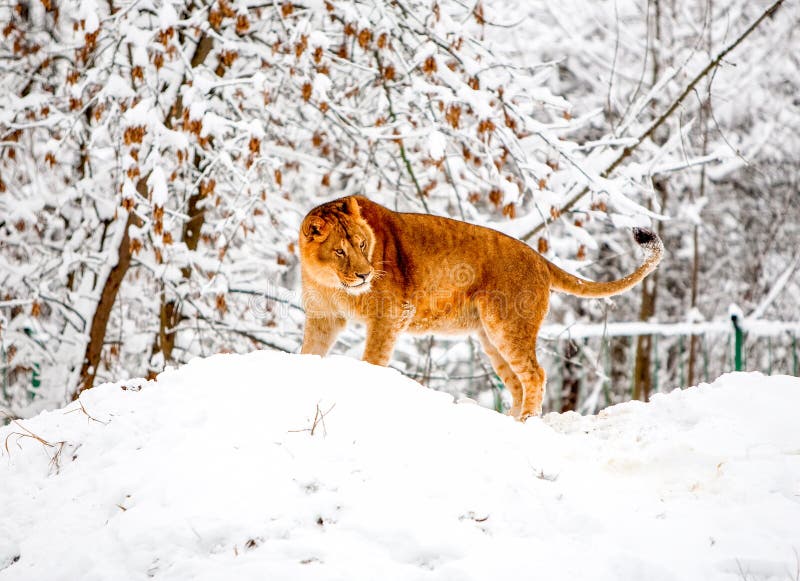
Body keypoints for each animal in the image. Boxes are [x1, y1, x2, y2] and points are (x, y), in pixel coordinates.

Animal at [299, 196, 663, 420]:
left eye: (363, 245)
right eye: (340, 251)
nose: (365, 274)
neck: (333, 284)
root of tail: (540, 259)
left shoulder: (390, 315)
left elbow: (373, 358)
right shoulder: (323, 317)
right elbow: (309, 351)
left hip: (508, 328)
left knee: (535, 374)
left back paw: (526, 421)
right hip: (491, 338)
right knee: (516, 381)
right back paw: (512, 420)